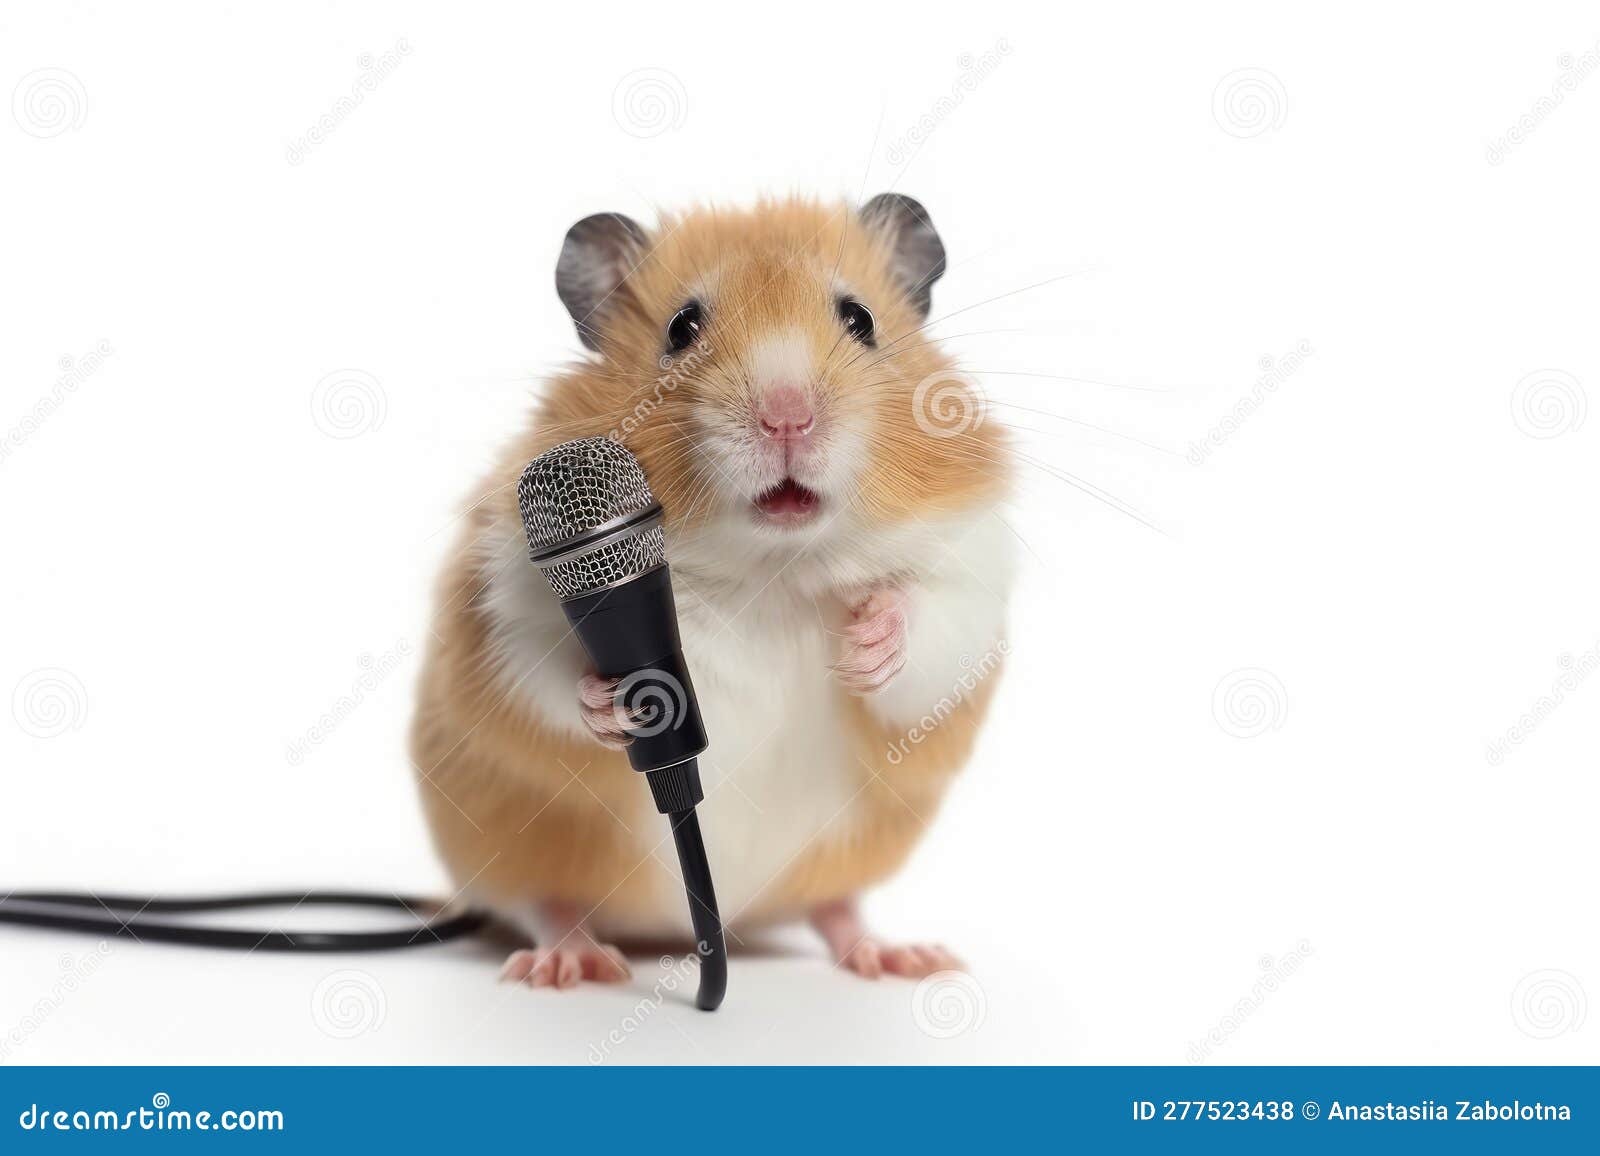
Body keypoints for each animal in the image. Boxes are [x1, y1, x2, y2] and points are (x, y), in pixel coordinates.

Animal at [410, 194, 1015, 987]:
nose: (787, 417)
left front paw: (866, 644)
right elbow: (546, 669)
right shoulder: (508, 591)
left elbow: (930, 632)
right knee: (546, 902)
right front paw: (608, 704)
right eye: (681, 328)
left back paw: (901, 957)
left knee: (835, 906)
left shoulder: (968, 570)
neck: (772, 569)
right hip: (509, 847)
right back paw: (570, 963)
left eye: (860, 319)